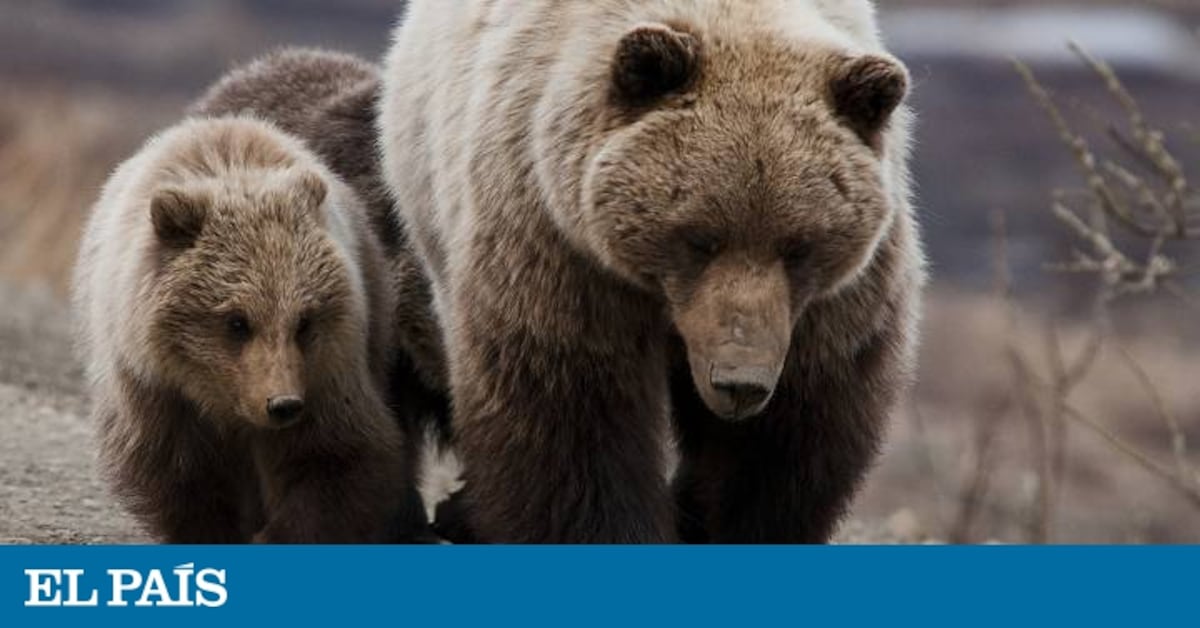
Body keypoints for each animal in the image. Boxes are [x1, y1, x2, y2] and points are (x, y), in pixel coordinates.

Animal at [73, 116, 425, 543]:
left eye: (304, 321)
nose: (282, 404)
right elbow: (181, 478)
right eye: (237, 321)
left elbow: (331, 459)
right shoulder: (158, 391)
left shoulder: (324, 376)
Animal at [379, 0, 926, 543]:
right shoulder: (560, 250)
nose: (739, 382)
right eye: (699, 237)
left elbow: (782, 442)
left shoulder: (828, 307)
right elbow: (575, 424)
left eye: (798, 246)